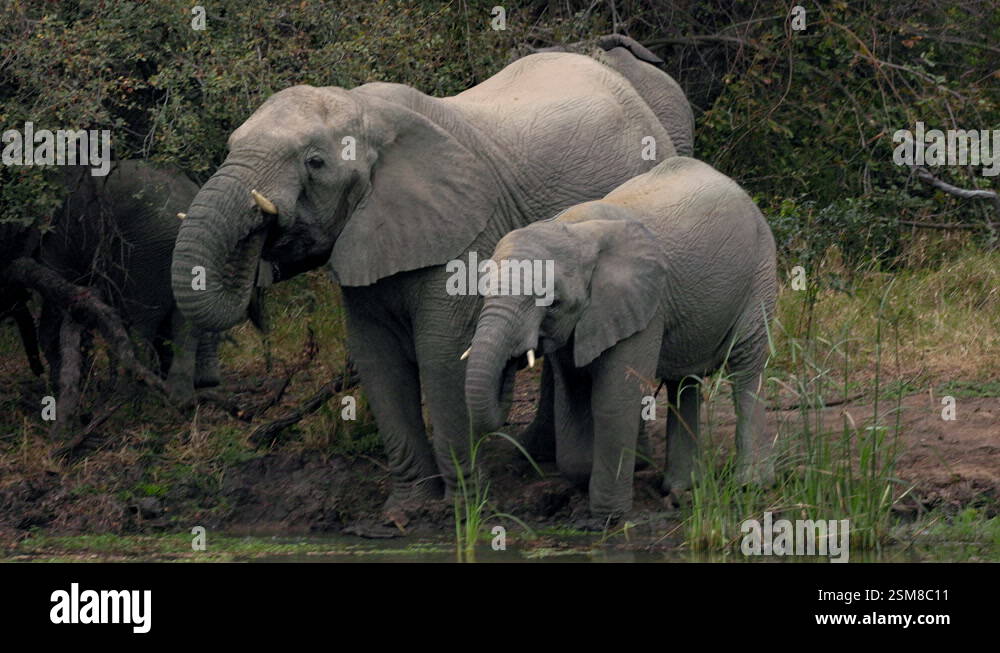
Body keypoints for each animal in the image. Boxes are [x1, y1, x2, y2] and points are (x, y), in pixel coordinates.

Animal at [38, 161, 223, 417]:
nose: (211, 381)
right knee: (180, 322)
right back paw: (178, 400)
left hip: (146, 250)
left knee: (140, 325)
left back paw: (127, 402)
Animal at [170, 40, 693, 516]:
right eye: (232, 147)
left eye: (314, 163)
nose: (261, 233)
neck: (368, 115)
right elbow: (378, 362)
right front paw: (405, 512)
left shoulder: (465, 233)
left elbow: (442, 356)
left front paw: (462, 510)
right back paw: (533, 456)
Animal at [463, 157, 778, 520]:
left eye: (551, 302)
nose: (514, 359)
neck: (573, 231)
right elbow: (573, 396)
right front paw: (586, 475)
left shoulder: (643, 305)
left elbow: (615, 399)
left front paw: (608, 516)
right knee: (684, 382)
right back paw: (680, 488)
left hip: (760, 268)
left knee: (746, 366)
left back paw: (750, 485)